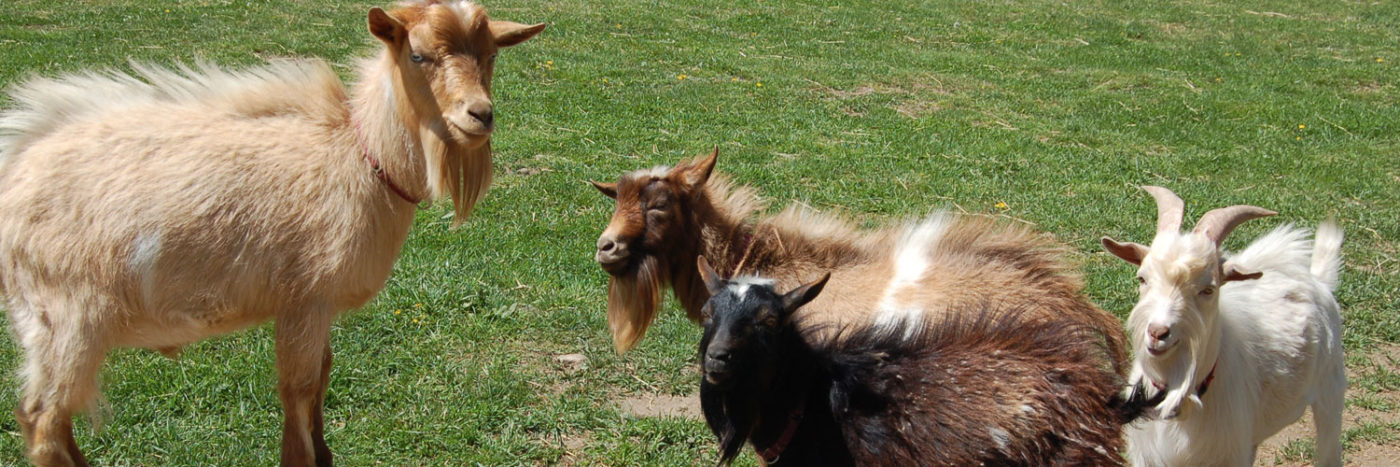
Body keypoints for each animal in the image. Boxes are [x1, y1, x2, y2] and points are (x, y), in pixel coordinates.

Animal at [0, 2, 543, 465]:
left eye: (493, 55)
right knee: (44, 421)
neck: (357, 155)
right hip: (69, 317)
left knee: (48, 421)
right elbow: (298, 389)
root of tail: (15, 174)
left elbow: (322, 377)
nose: (480, 114)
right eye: (417, 54)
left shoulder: (317, 306)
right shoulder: (304, 298)